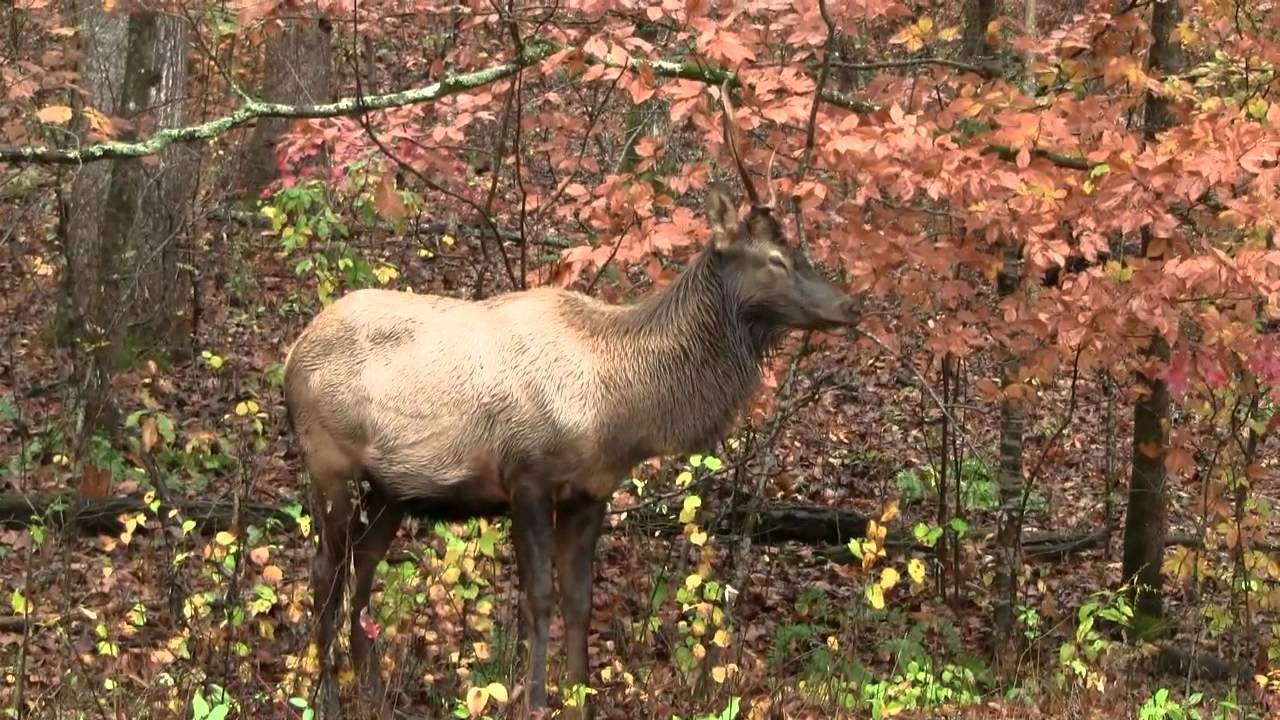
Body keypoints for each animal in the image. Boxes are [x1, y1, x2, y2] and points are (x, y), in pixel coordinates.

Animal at [282, 82, 862, 719]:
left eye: (800, 251)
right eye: (775, 259)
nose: (851, 305)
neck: (621, 409)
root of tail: (290, 357)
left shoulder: (591, 490)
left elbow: (579, 602)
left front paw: (581, 698)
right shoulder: (527, 474)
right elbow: (538, 597)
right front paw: (534, 699)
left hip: (392, 487)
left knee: (362, 566)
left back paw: (373, 691)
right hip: (329, 462)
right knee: (324, 573)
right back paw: (327, 698)